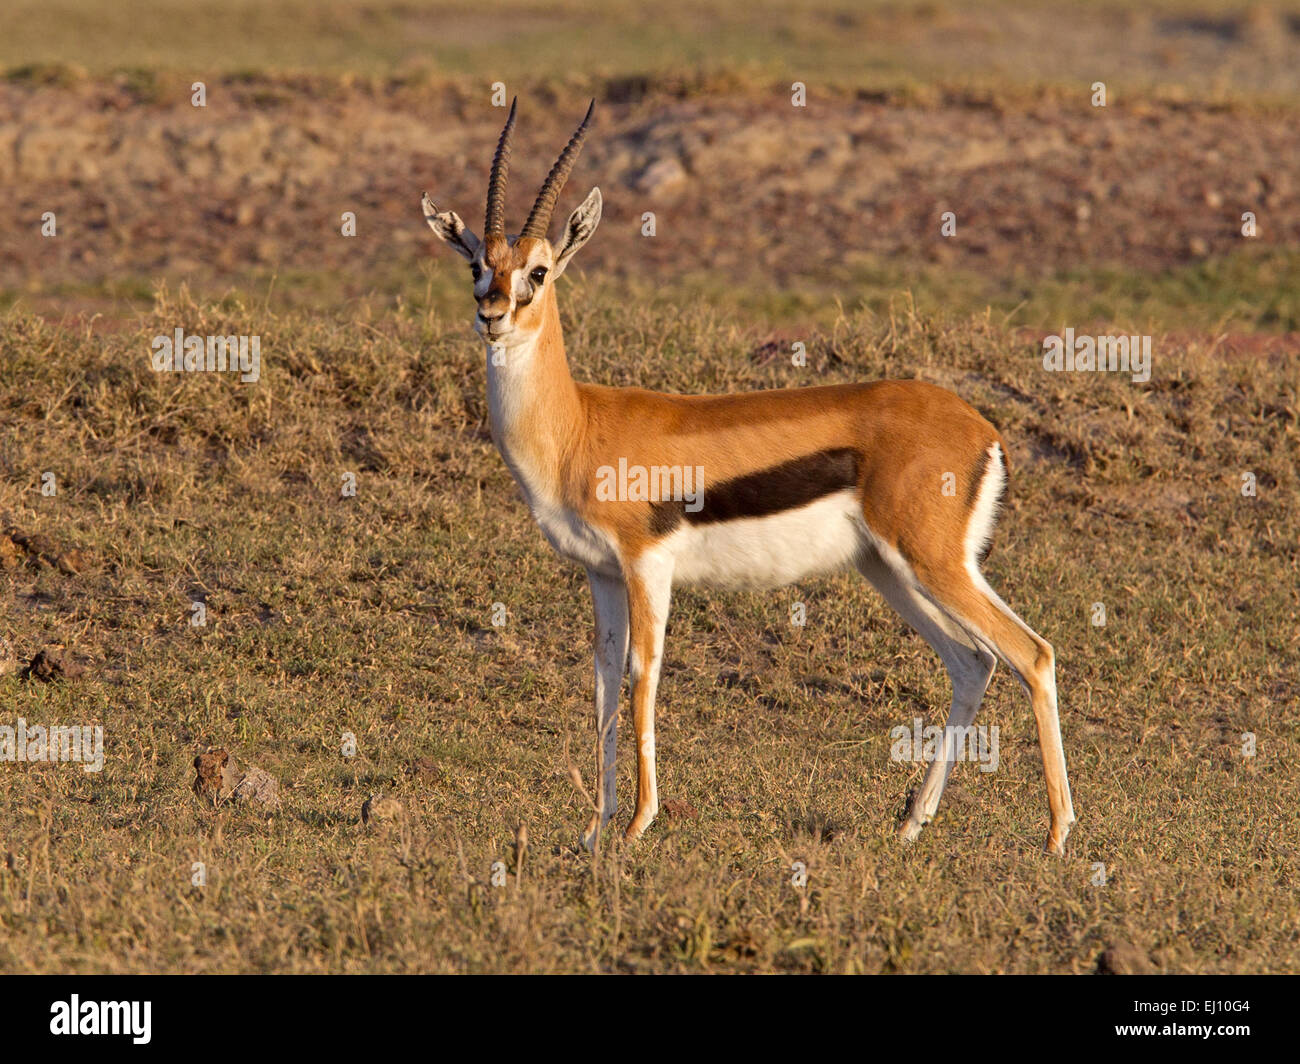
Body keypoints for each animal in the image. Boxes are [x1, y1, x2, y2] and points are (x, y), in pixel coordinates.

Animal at [421, 99, 1075, 855]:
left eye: (540, 270)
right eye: (477, 263)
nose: (492, 314)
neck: (579, 425)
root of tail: (983, 430)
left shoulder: (647, 564)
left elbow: (643, 677)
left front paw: (639, 823)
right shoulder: (601, 572)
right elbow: (605, 682)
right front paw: (594, 831)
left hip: (934, 564)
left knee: (1033, 654)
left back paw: (1057, 836)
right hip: (891, 569)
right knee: (974, 662)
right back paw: (913, 822)